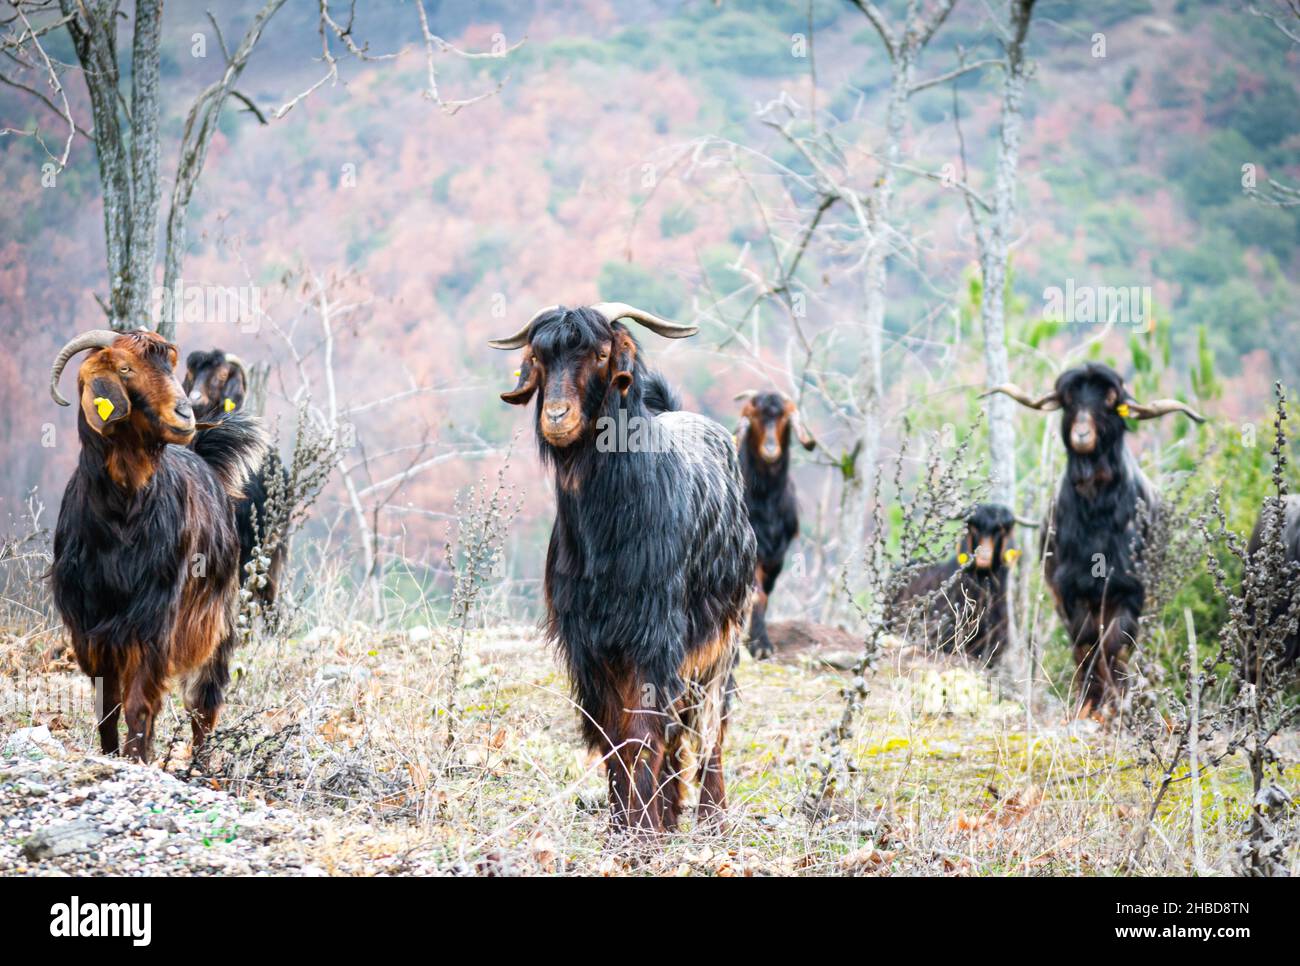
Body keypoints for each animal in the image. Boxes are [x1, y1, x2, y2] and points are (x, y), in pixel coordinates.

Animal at [49, 330, 266, 762]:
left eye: (170, 364)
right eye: (125, 368)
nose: (185, 415)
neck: (121, 515)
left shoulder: (155, 621)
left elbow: (139, 704)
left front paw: (137, 760)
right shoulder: (89, 628)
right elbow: (107, 706)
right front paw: (115, 756)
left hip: (217, 622)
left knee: (205, 702)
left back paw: (199, 764)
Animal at [490, 303, 755, 835]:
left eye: (600, 353)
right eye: (540, 355)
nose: (556, 417)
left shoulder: (654, 635)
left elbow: (642, 734)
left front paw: (642, 832)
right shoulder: (589, 643)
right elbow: (614, 738)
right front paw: (622, 828)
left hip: (726, 634)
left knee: (712, 722)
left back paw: (711, 816)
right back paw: (672, 812)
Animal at [733, 389, 815, 659]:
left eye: (783, 418)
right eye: (755, 417)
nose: (770, 449)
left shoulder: (778, 553)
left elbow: (765, 595)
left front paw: (760, 642)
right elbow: (756, 594)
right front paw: (759, 645)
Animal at [986, 363, 1204, 712]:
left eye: (1111, 400)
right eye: (1068, 400)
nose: (1082, 435)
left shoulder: (1131, 590)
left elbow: (1115, 643)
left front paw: (1116, 701)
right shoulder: (1069, 591)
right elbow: (1086, 642)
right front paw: (1090, 703)